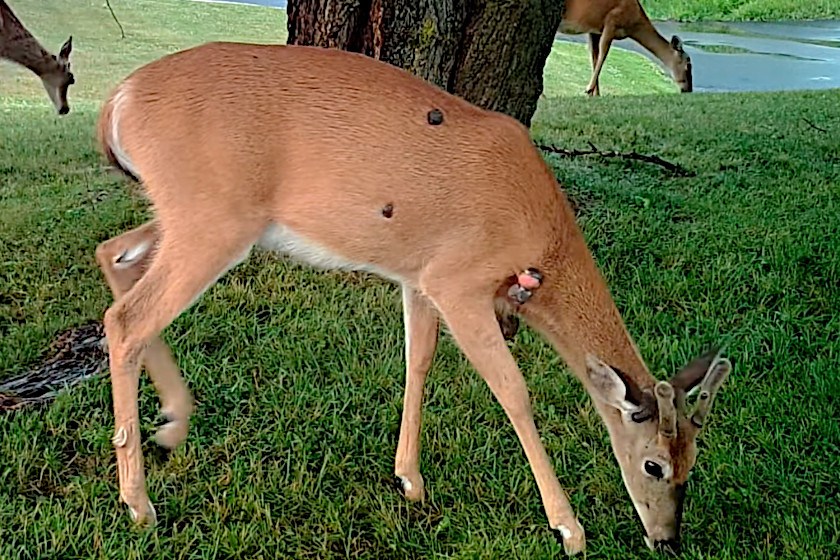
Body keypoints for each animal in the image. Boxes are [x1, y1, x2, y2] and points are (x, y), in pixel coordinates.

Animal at [92, 42, 729, 555]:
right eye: (653, 464)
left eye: (695, 462)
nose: (667, 540)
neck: (541, 240)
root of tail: (117, 101)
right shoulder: (458, 278)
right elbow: (514, 392)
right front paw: (569, 529)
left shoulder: (419, 276)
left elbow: (417, 362)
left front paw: (409, 481)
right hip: (213, 219)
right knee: (125, 319)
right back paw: (139, 504)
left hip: (188, 217)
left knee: (113, 254)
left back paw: (173, 423)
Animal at [558, 0, 692, 95]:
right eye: (688, 65)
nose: (688, 89)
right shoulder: (612, 22)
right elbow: (602, 55)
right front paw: (589, 89)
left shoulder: (595, 31)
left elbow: (594, 56)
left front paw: (595, 93)